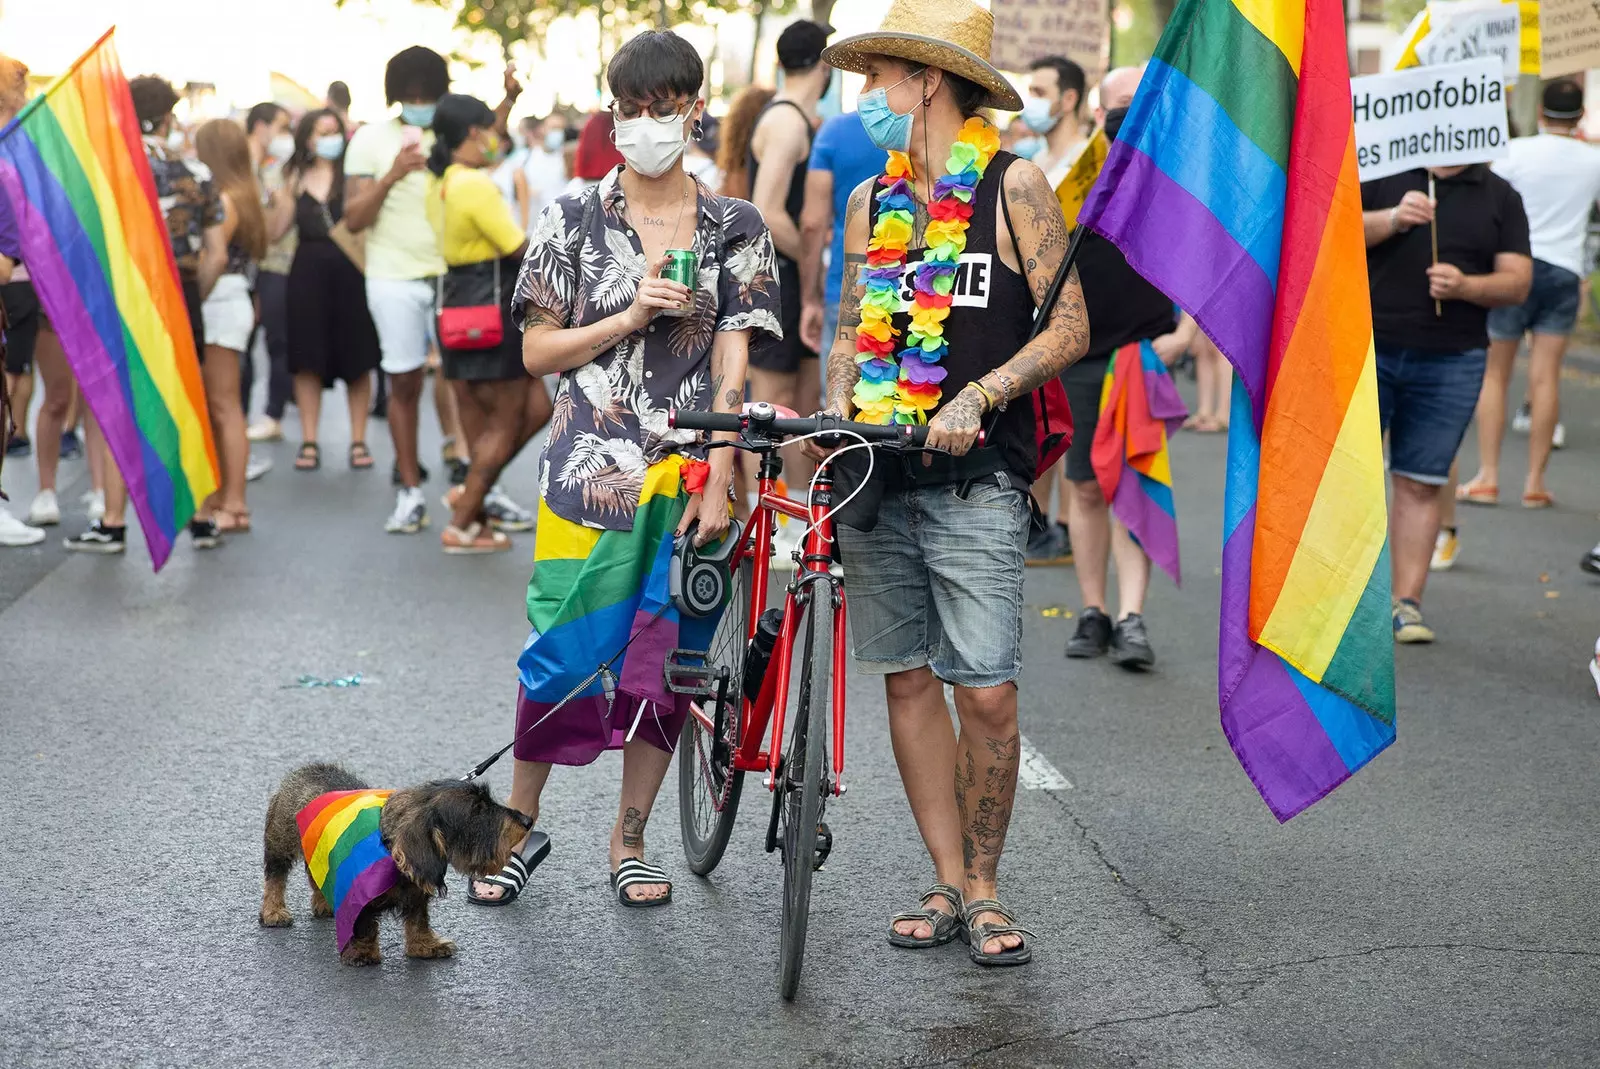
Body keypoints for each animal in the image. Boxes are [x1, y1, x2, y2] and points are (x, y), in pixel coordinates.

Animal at [259, 764, 528, 966]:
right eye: (477, 810)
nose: (526, 820)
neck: (388, 848)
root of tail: (307, 769)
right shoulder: (358, 895)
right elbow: (365, 923)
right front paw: (363, 952)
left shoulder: (417, 894)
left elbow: (419, 920)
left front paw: (425, 945)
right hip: (280, 842)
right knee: (275, 876)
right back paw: (273, 911)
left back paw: (324, 902)